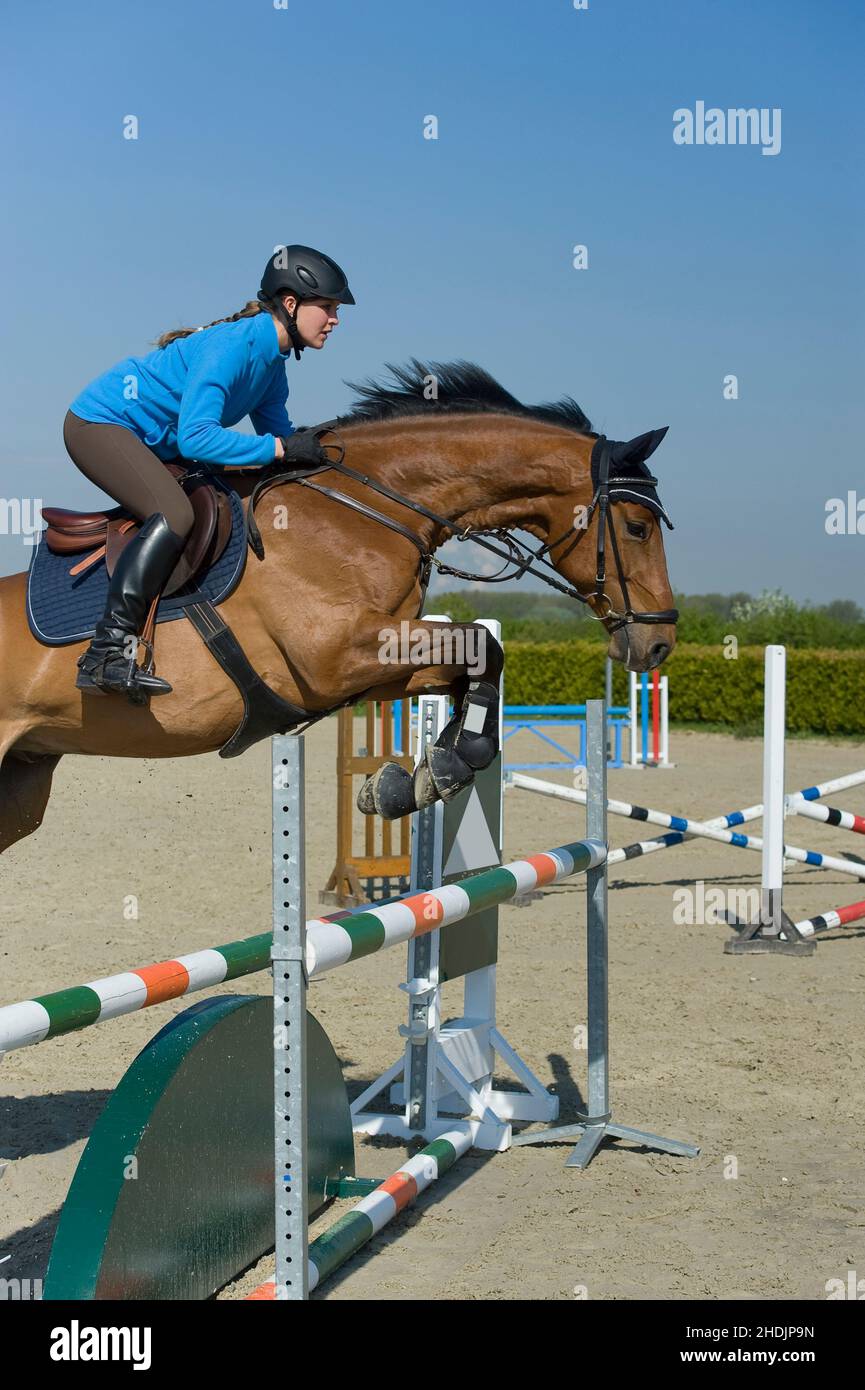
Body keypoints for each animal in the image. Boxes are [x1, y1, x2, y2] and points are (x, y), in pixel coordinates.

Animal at [0, 360, 678, 854]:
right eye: (638, 527)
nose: (658, 643)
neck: (364, 509)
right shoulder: (333, 654)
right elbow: (485, 644)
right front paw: (439, 768)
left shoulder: (374, 665)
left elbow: (471, 663)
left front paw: (420, 777)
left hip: (24, 783)